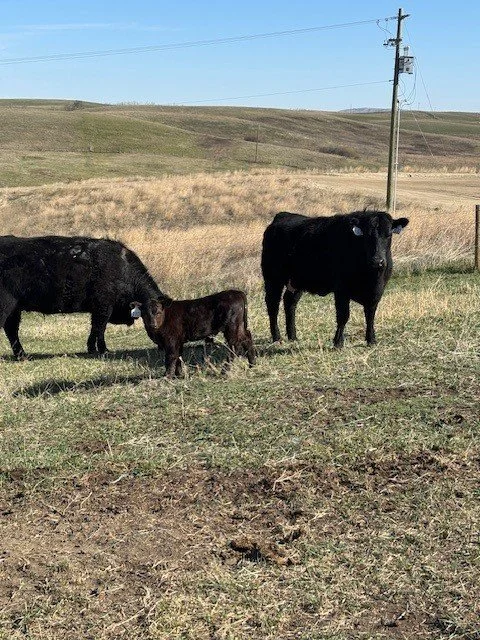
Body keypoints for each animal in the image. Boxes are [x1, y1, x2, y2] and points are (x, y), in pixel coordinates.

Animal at [0, 235, 168, 358]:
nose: (163, 347)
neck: (122, 268)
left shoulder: (98, 308)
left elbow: (95, 328)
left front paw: (93, 348)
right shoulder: (104, 306)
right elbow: (100, 327)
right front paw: (102, 350)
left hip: (15, 309)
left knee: (11, 330)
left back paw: (22, 355)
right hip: (6, 305)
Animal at [261, 210, 409, 348]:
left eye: (389, 234)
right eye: (366, 236)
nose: (377, 261)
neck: (371, 278)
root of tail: (283, 215)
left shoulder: (376, 293)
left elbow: (370, 315)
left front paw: (371, 340)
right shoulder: (341, 290)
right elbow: (343, 316)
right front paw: (338, 342)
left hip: (296, 281)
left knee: (289, 302)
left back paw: (293, 337)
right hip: (272, 278)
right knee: (273, 304)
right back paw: (277, 338)